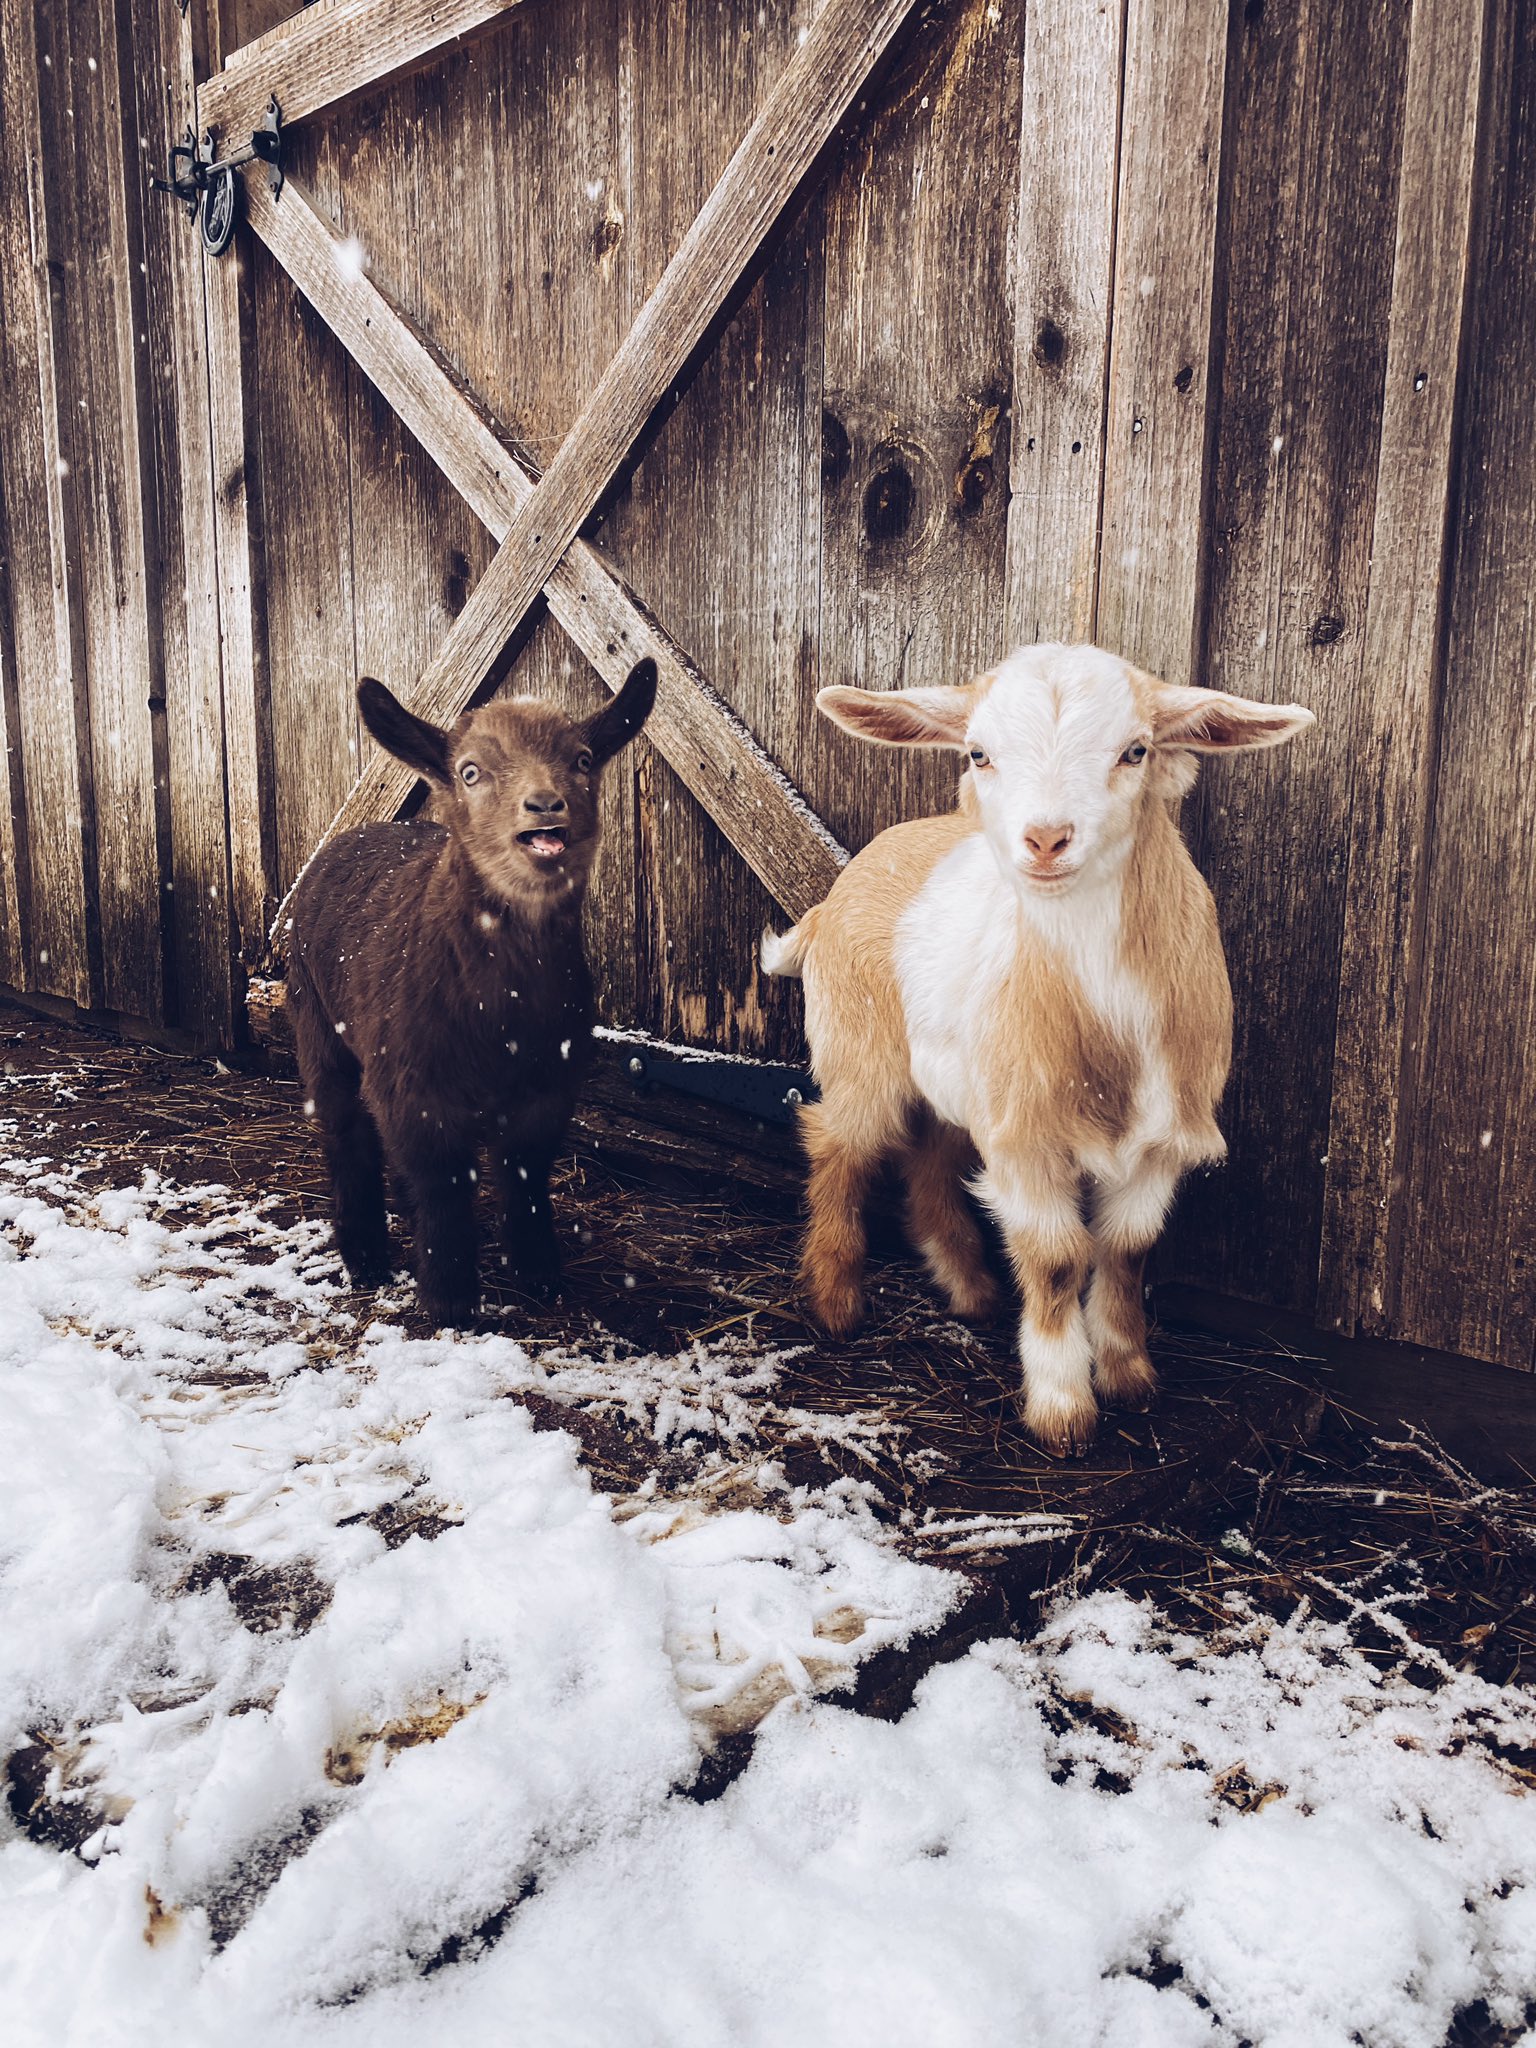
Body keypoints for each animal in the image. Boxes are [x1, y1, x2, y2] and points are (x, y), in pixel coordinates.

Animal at [285, 658, 657, 1323]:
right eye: (470, 771)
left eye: (584, 758)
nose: (545, 807)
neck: (501, 1019)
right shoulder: (413, 1083)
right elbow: (442, 1182)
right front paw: (450, 1299)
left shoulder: (550, 1083)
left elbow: (526, 1173)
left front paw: (539, 1275)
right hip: (316, 1019)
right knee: (344, 1130)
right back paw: (364, 1257)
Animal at [762, 642, 1315, 1453]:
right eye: (978, 753)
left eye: (1135, 750)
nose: (1047, 840)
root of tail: (835, 894)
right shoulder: (1026, 1139)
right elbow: (1057, 1261)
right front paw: (1062, 1409)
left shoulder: (1159, 1141)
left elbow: (1125, 1249)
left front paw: (1129, 1375)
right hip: (860, 1047)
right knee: (839, 1143)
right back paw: (835, 1301)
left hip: (963, 1081)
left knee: (929, 1163)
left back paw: (971, 1294)